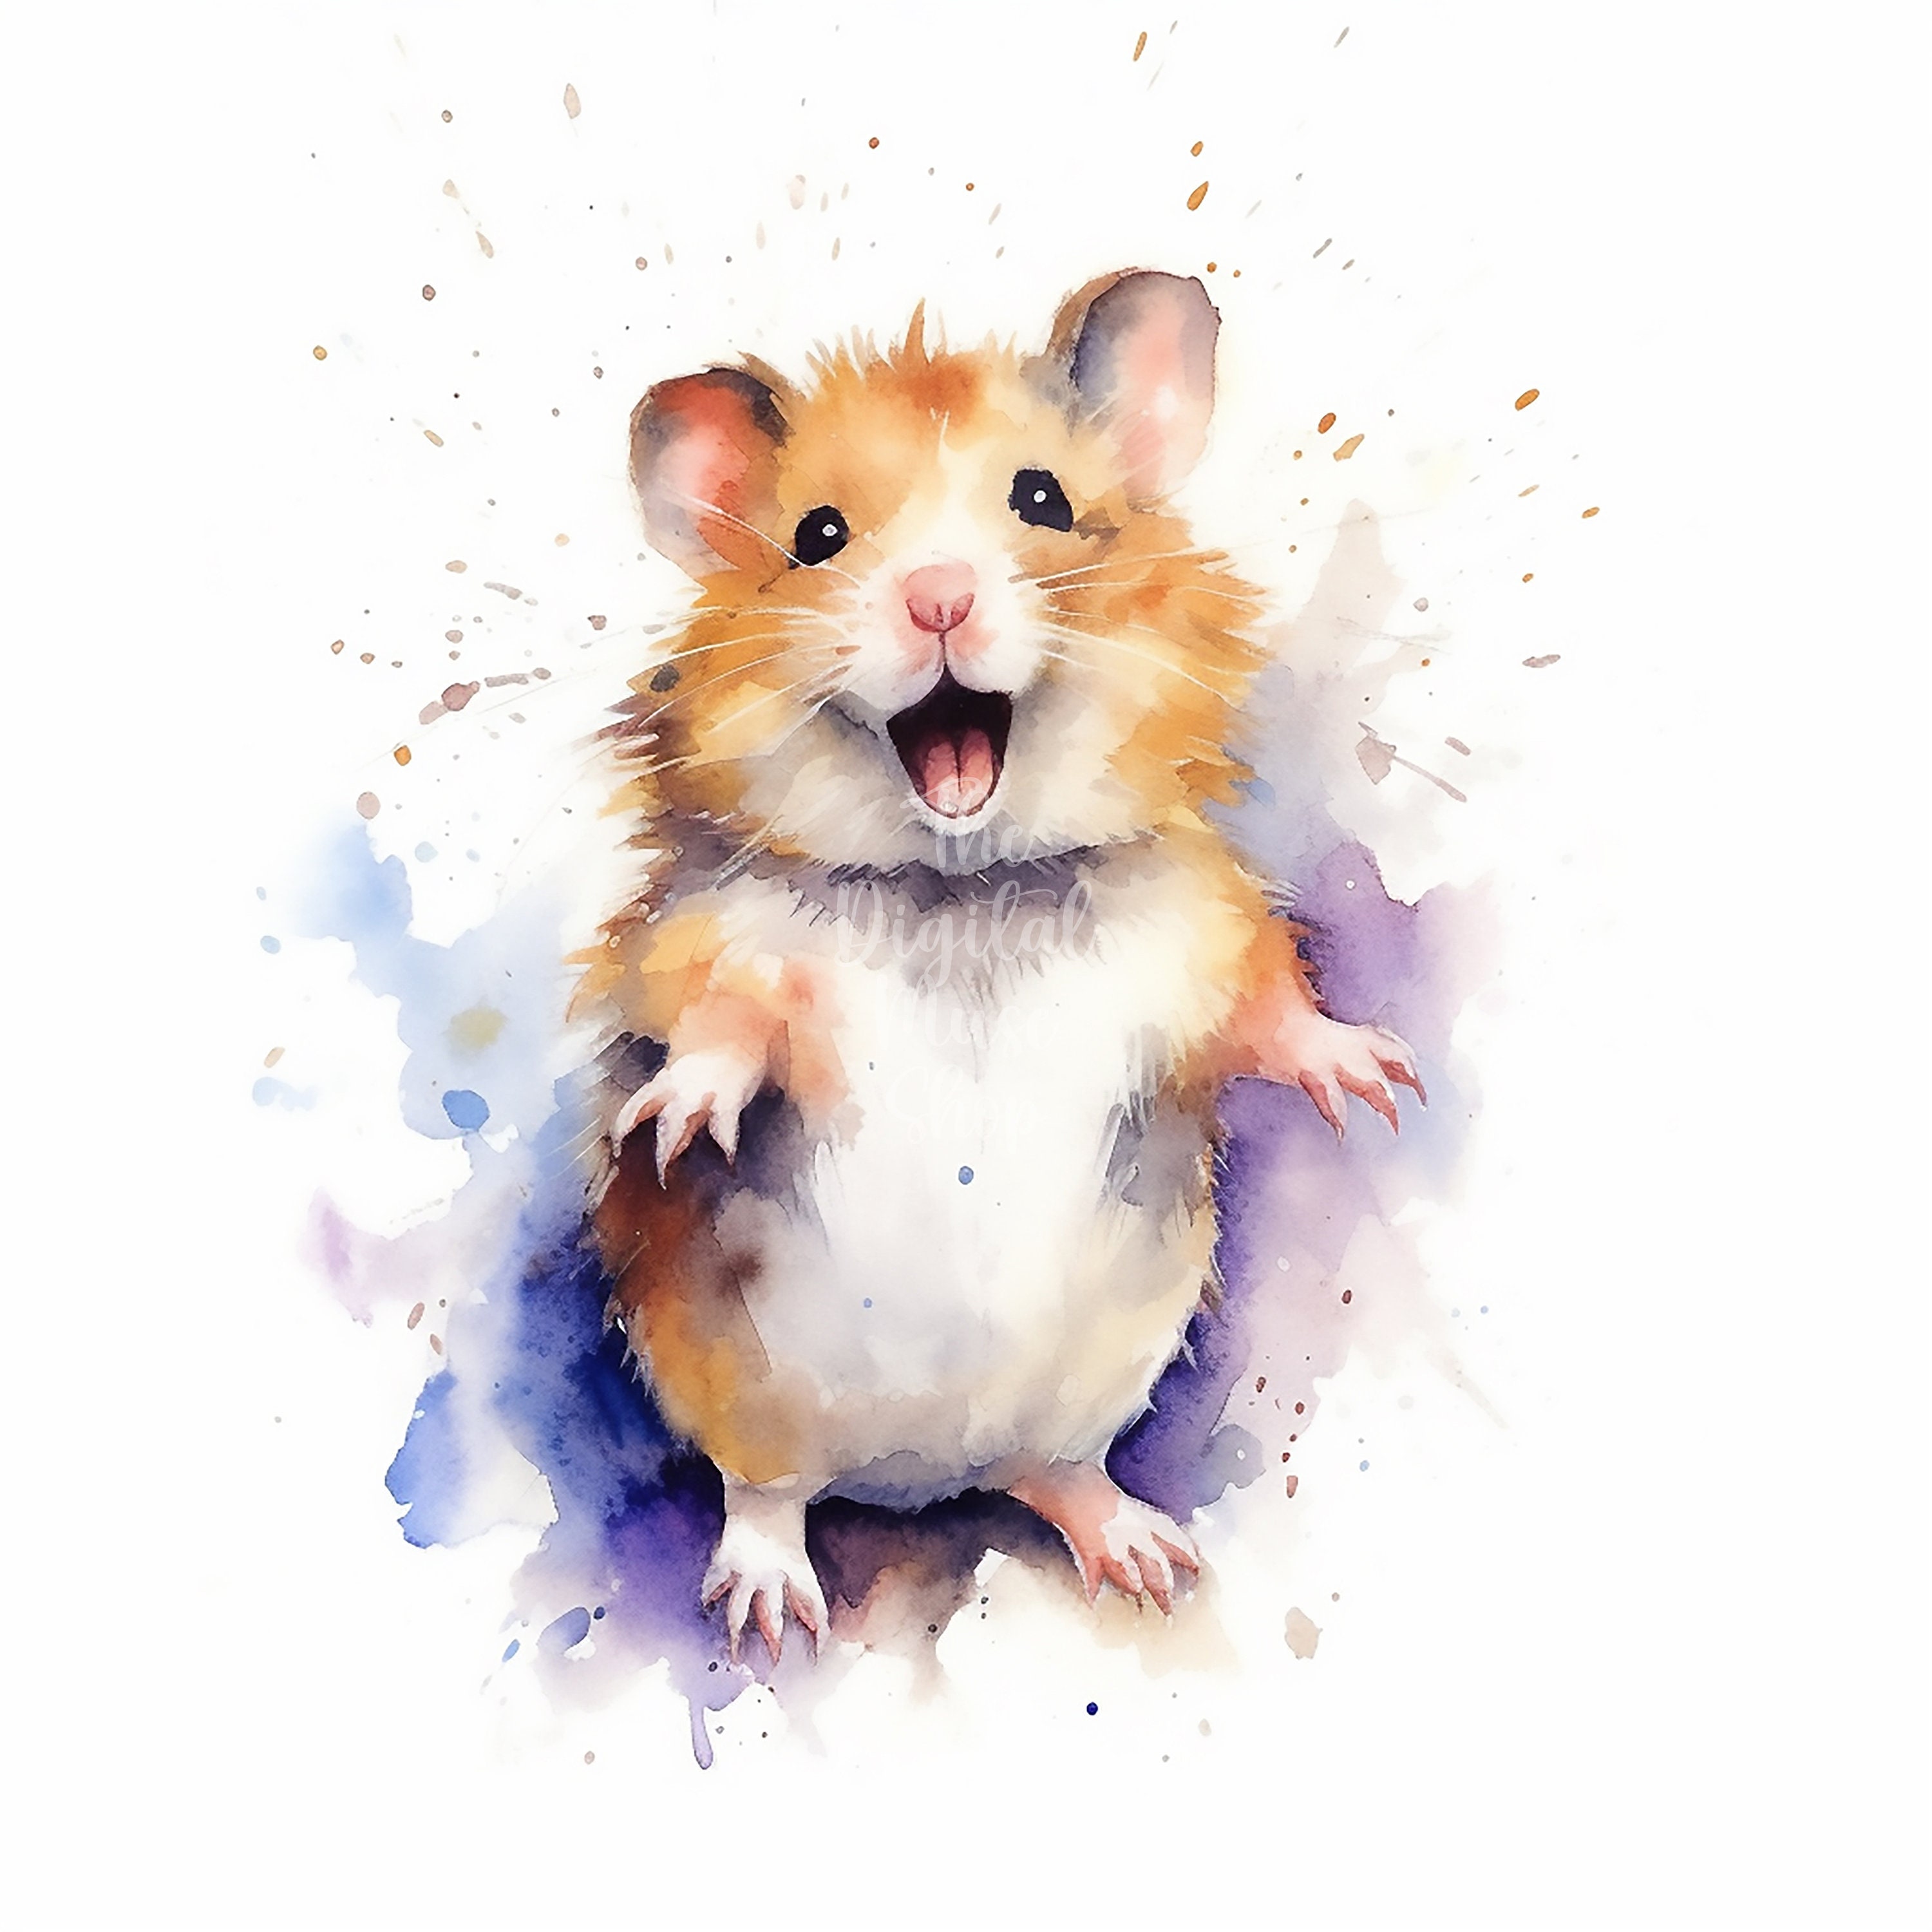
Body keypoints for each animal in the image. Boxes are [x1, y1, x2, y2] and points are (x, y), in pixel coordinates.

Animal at [574, 269, 1421, 1661]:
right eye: (816, 535)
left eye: (1041, 501)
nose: (938, 599)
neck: (962, 889)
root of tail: (918, 1482)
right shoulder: (723, 944)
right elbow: (724, 1027)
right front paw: (675, 1123)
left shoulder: (1200, 929)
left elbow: (1273, 1009)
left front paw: (1378, 1079)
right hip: (733, 1376)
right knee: (769, 1495)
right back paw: (770, 1614)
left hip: (1107, 1361)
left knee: (1052, 1472)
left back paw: (1148, 1559)